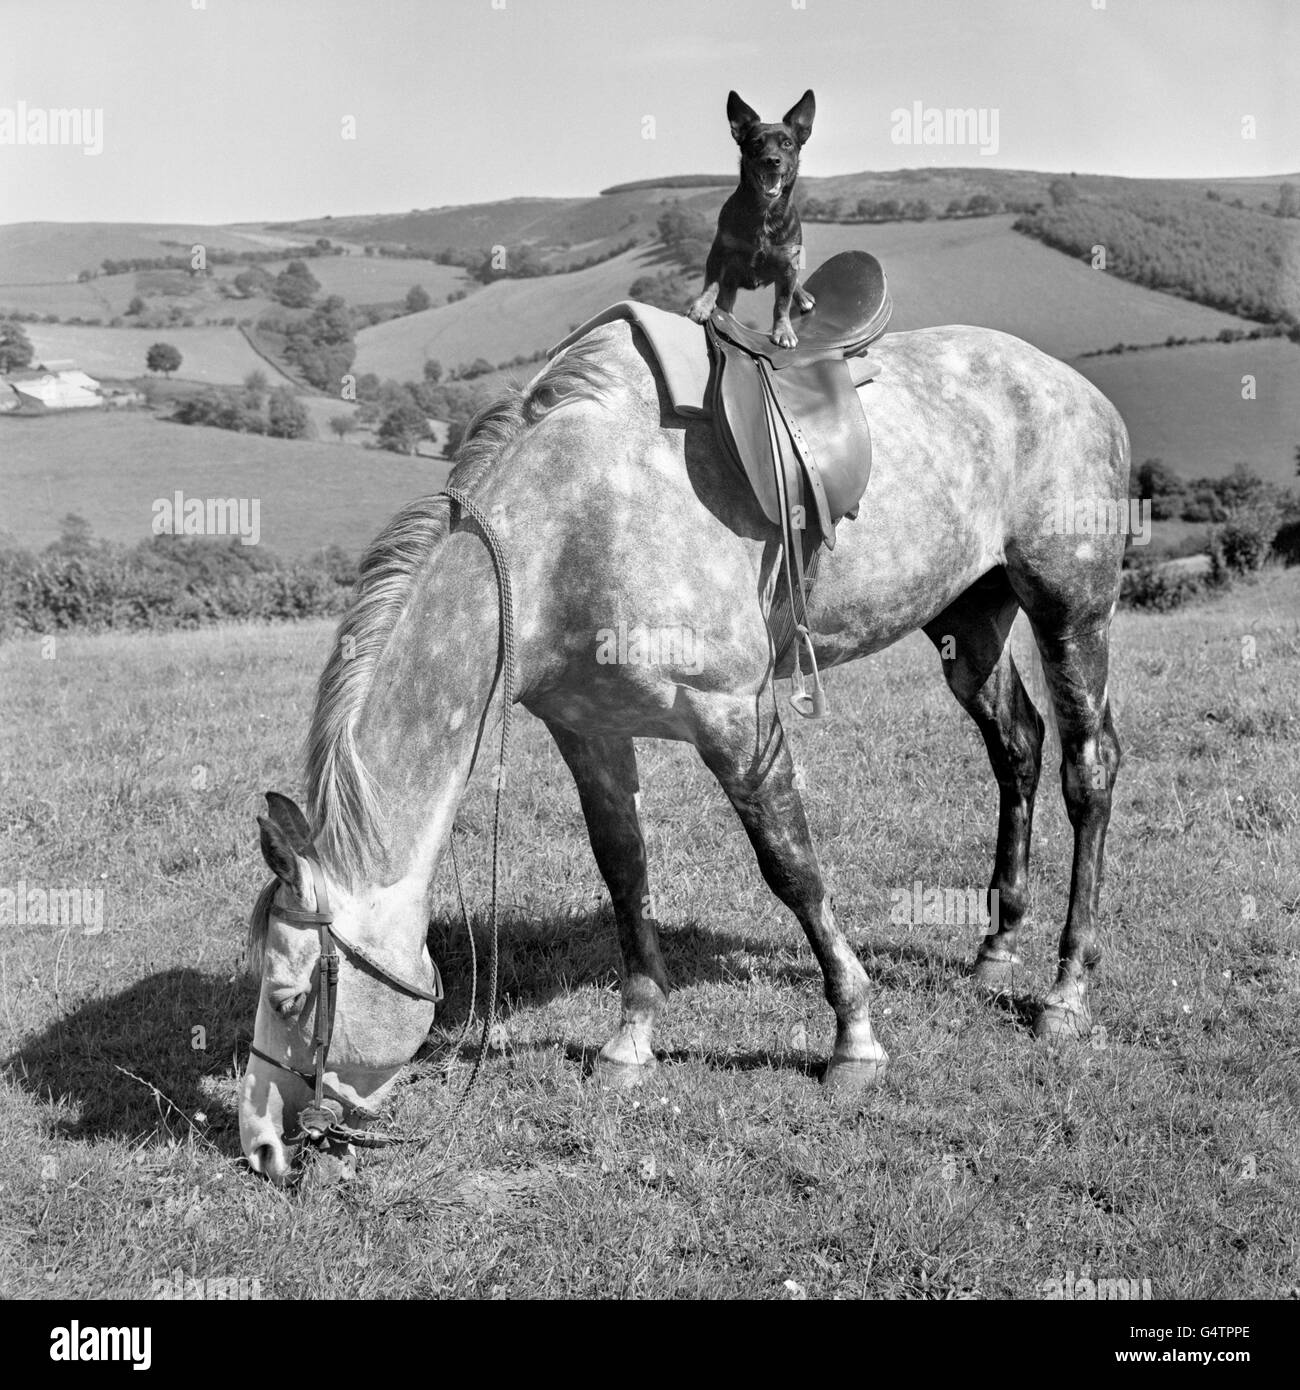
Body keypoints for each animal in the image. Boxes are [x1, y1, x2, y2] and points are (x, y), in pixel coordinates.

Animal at [241, 319, 1128, 1178]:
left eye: (291, 998)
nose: (261, 1145)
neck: (573, 526)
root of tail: (1077, 389)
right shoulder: (590, 732)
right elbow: (624, 872)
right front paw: (631, 1040)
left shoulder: (736, 720)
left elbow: (793, 871)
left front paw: (854, 1038)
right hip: (966, 620)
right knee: (1017, 748)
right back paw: (997, 947)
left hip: (1070, 611)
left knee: (1088, 769)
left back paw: (1065, 993)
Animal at [686, 91, 817, 347]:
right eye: (756, 143)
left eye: (787, 143)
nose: (772, 160)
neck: (764, 213)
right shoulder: (719, 253)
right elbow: (712, 284)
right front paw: (703, 306)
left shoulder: (787, 265)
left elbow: (782, 303)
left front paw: (783, 330)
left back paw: (802, 295)